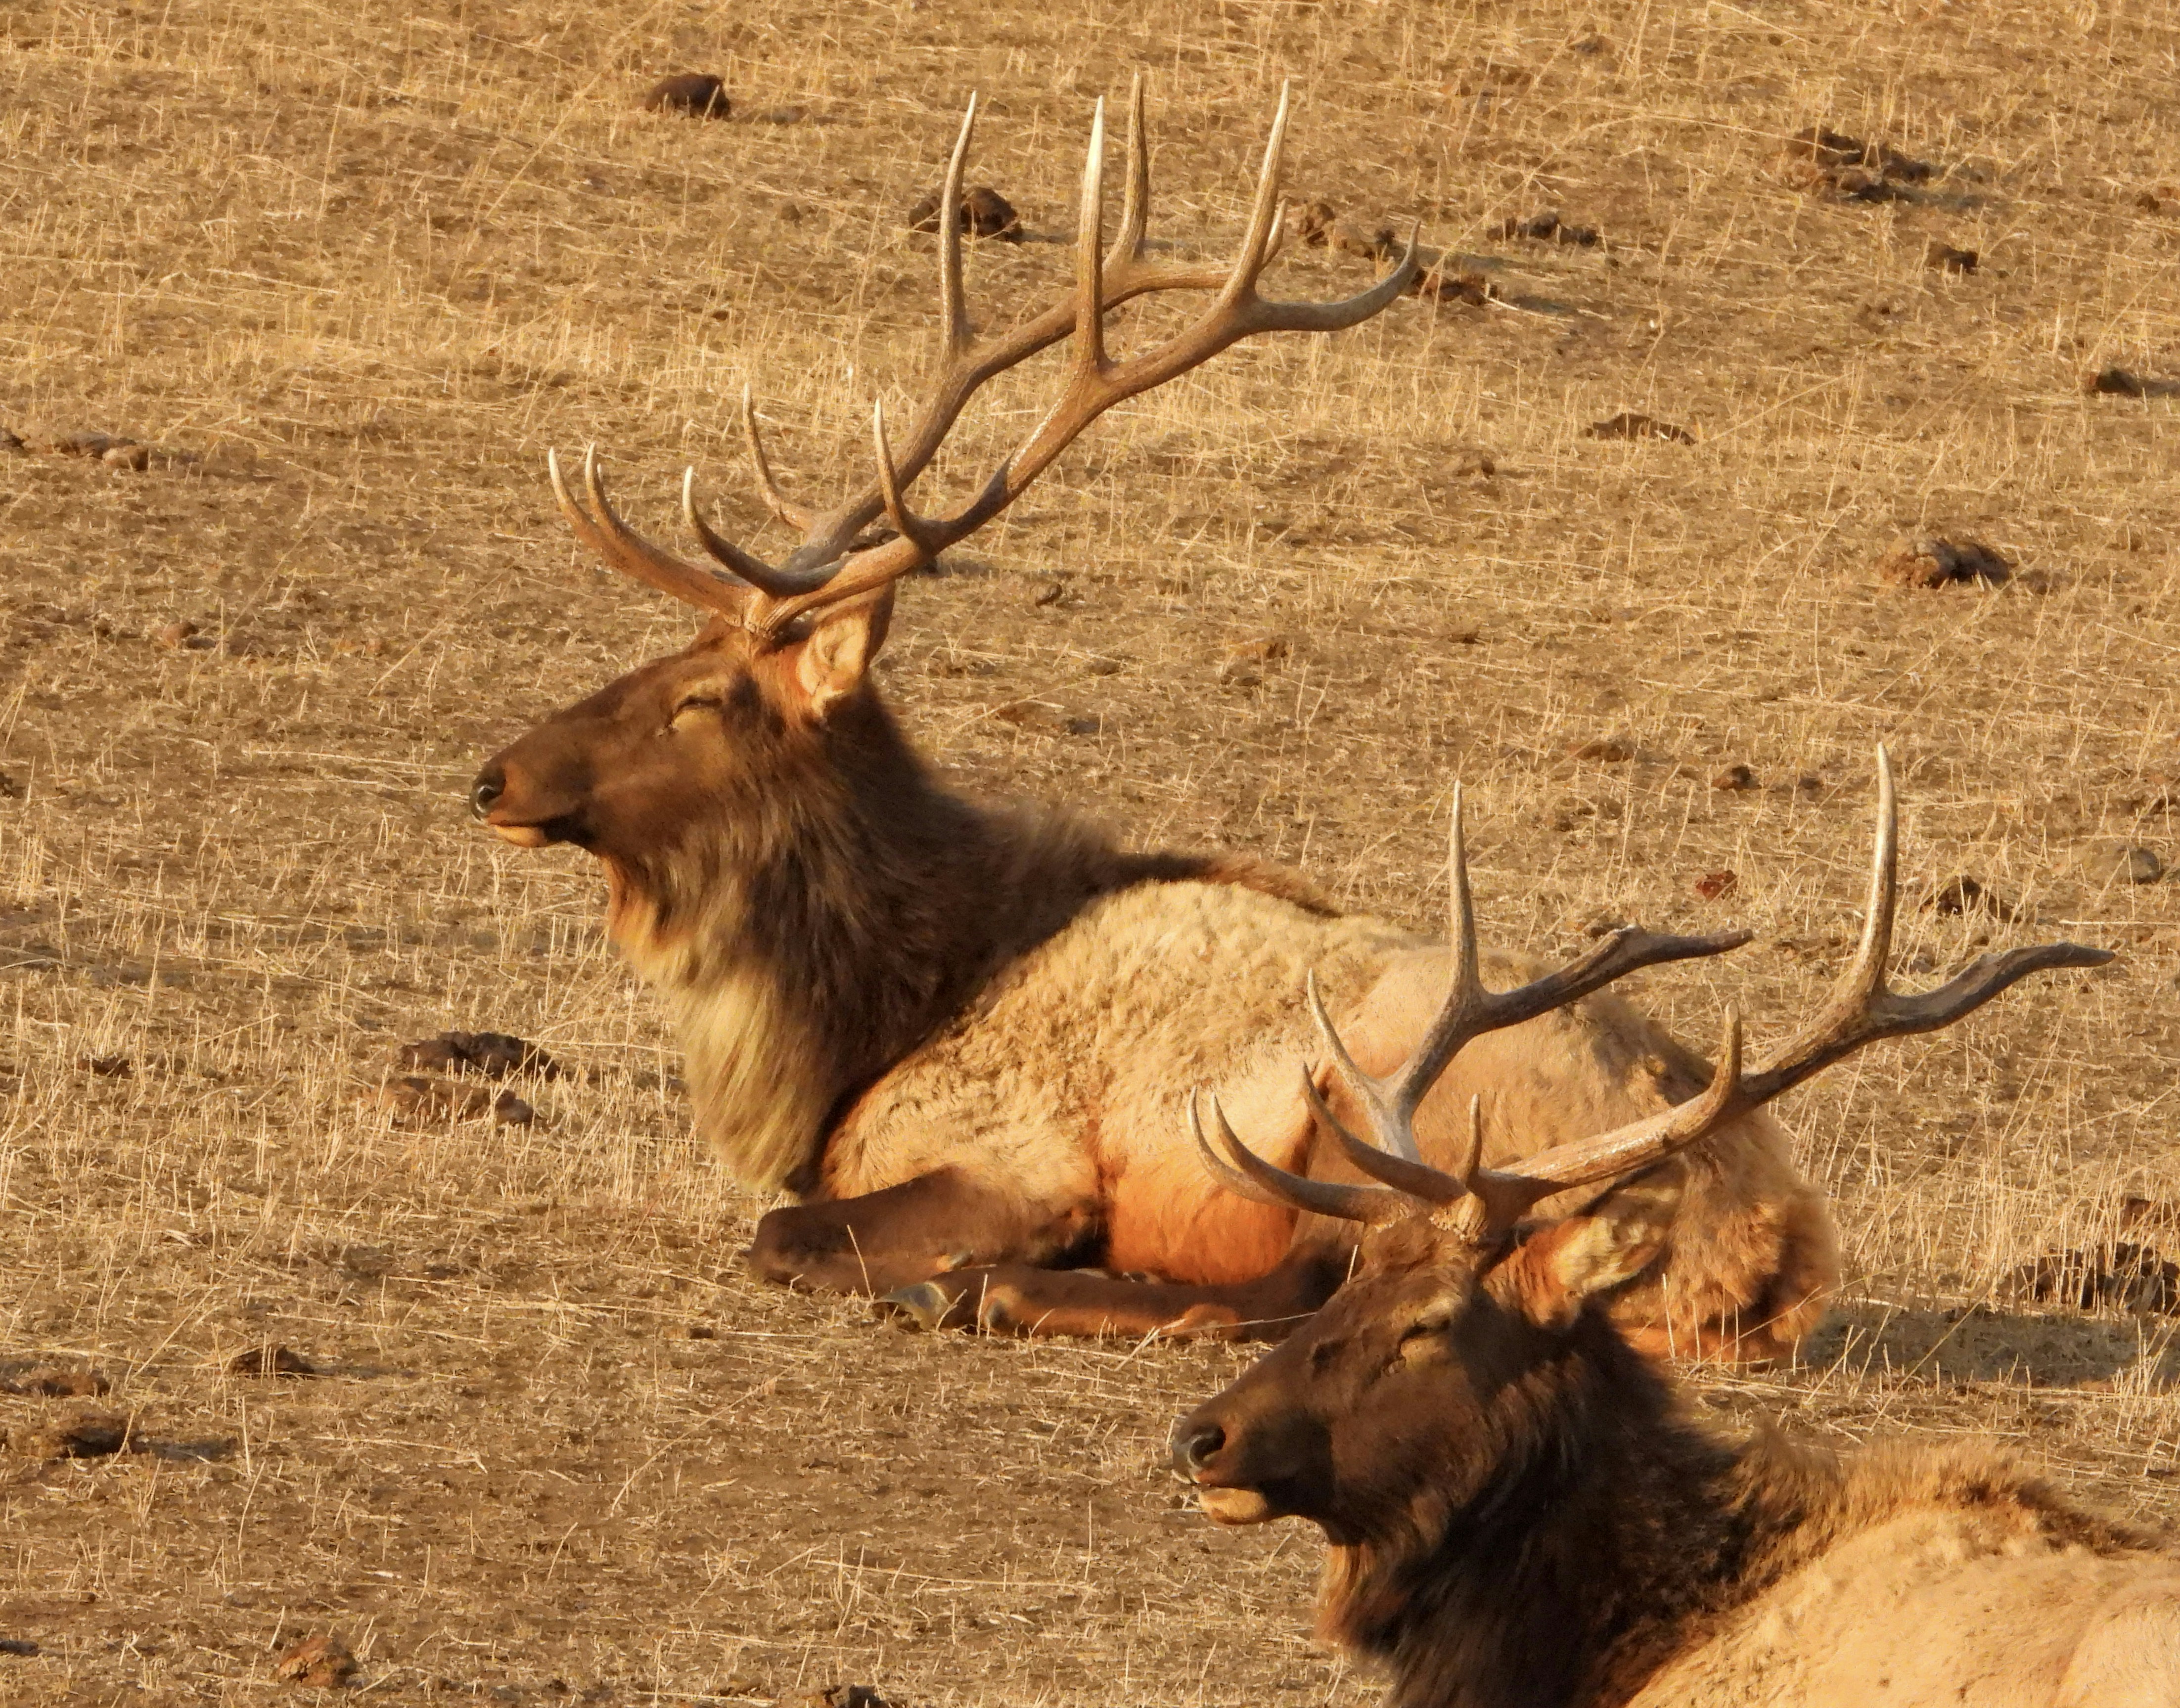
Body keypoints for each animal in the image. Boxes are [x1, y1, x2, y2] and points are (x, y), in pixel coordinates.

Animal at [473, 80, 1838, 1360]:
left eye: (696, 701)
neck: (873, 1014)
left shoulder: (1011, 1154)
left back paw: (996, 1291)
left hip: (1386, 1123)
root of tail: (1770, 1238)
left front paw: (962, 1270)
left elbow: (782, 1233)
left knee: (1307, 1289)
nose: (494, 777)